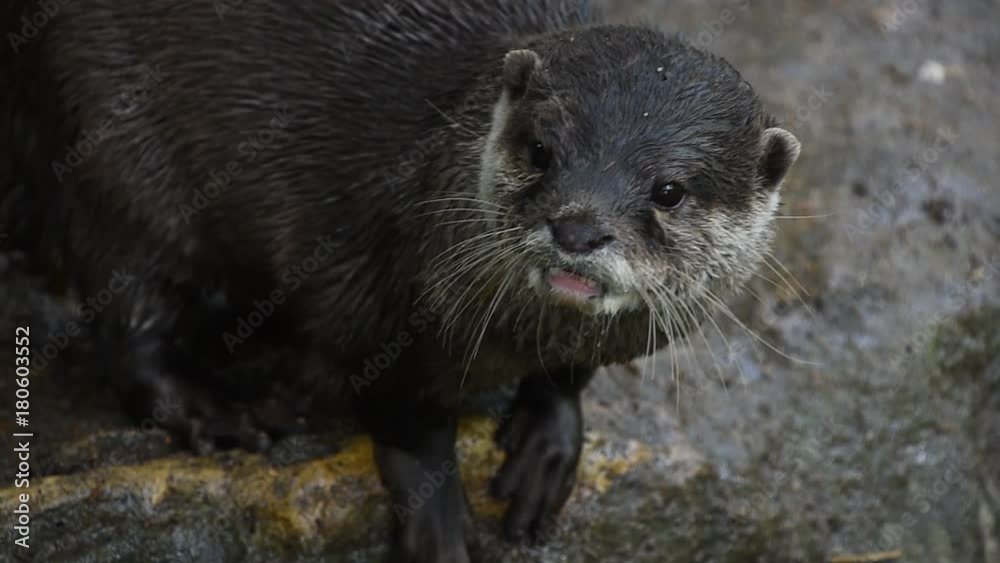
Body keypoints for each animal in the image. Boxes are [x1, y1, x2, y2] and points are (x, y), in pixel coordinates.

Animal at [9, 0, 801, 560]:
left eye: (668, 190)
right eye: (541, 150)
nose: (578, 228)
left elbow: (569, 379)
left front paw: (549, 443)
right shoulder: (370, 303)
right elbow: (406, 423)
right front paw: (440, 527)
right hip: (116, 151)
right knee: (128, 316)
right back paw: (221, 409)